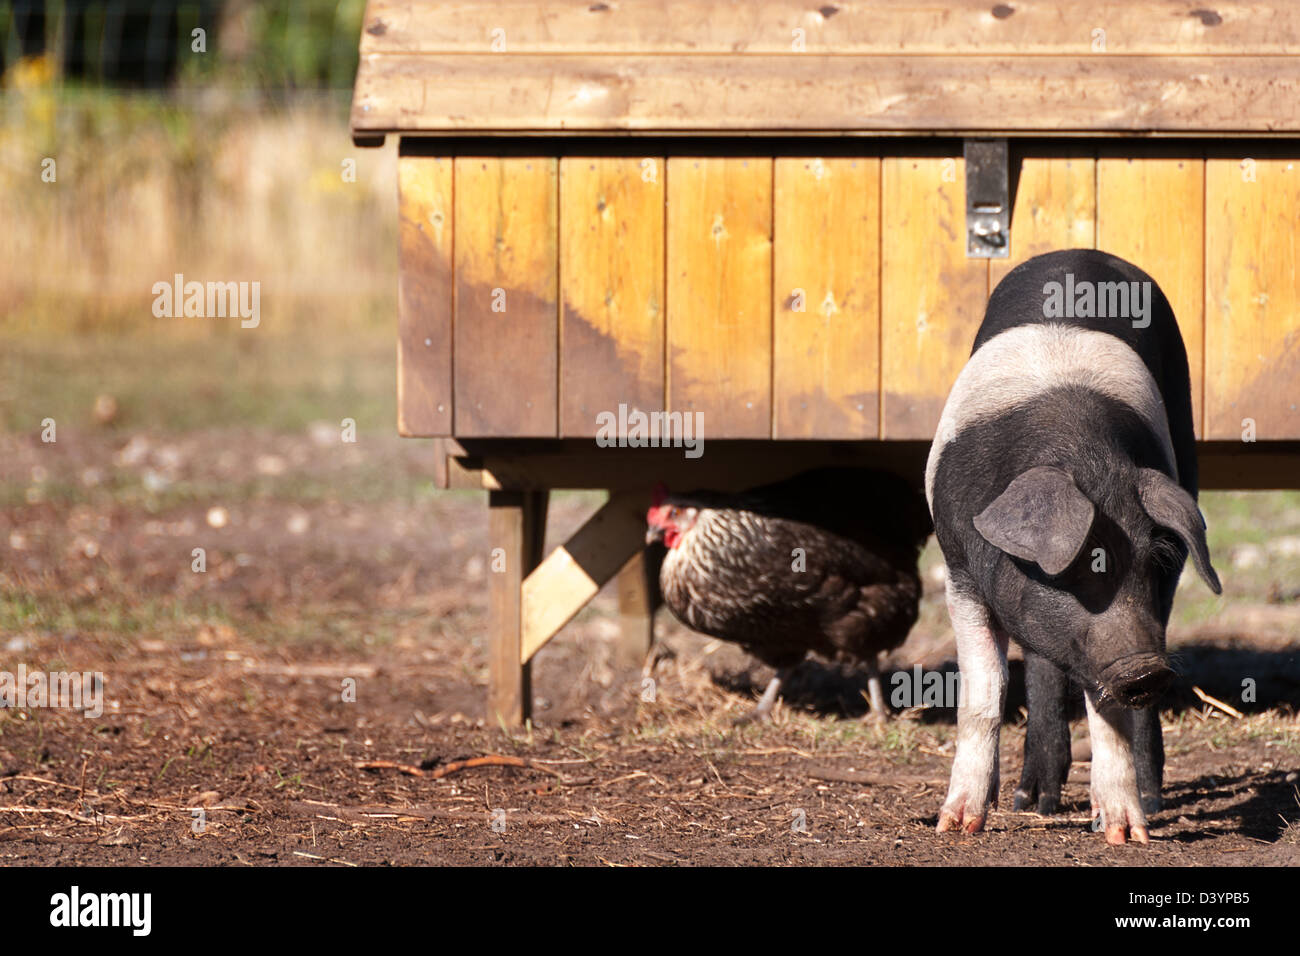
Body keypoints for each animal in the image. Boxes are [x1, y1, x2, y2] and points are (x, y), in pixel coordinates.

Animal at [925, 249, 1221, 845]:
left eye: (1152, 563)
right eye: (1078, 569)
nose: (1145, 669)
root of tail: (1084, 252)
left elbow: (1106, 704)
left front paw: (1127, 833)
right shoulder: (959, 567)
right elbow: (984, 693)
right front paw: (957, 825)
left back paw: (1145, 802)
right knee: (1040, 667)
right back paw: (1031, 802)